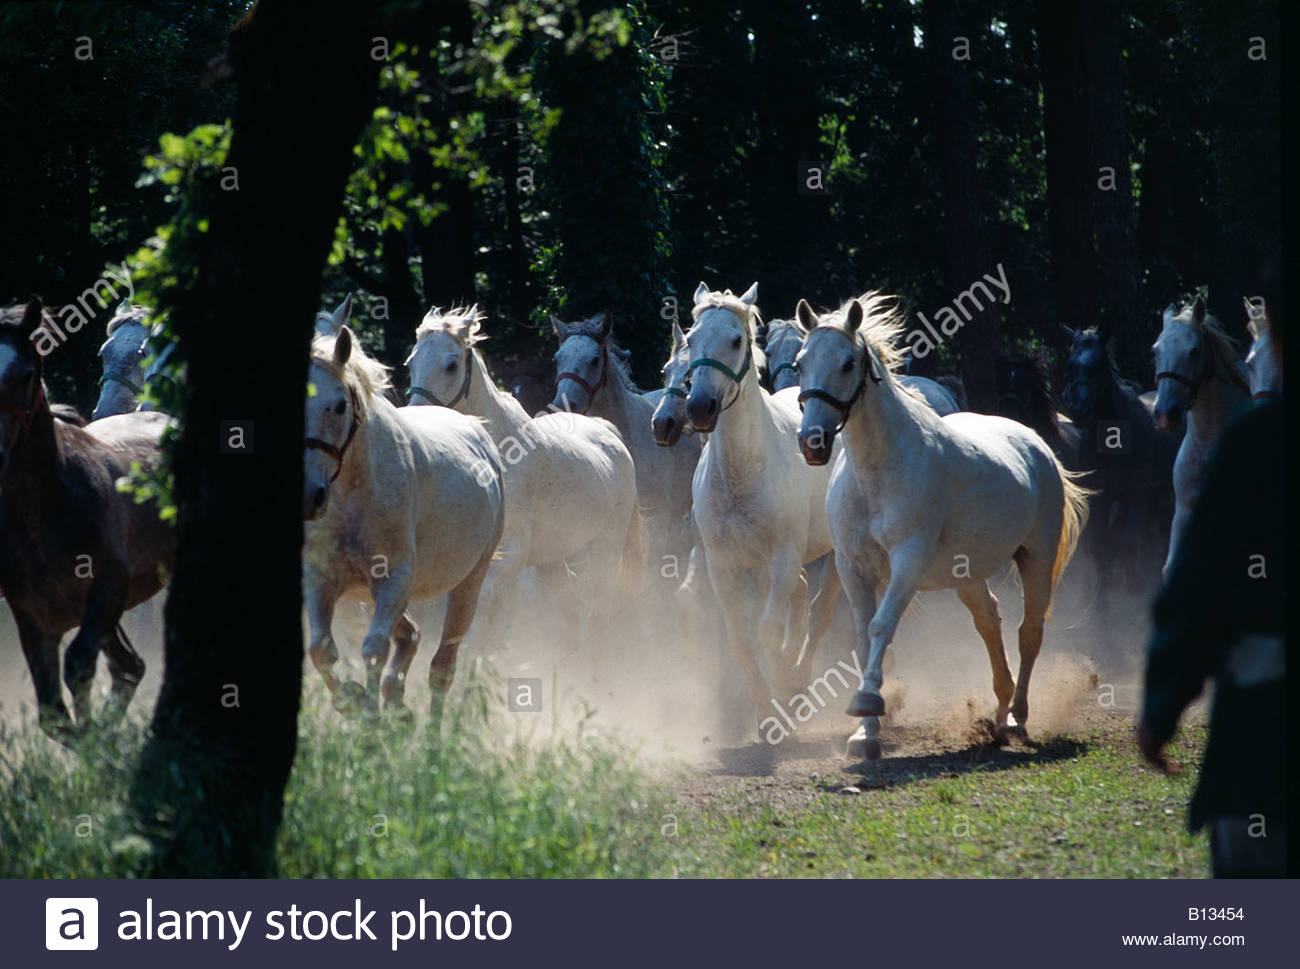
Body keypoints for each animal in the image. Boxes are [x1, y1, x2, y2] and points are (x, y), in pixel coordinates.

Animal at [302, 325, 505, 726]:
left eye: (339, 405)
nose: (308, 495)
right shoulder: (322, 577)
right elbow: (321, 649)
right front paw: (353, 700)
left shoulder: (393, 577)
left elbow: (372, 650)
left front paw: (370, 718)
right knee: (410, 636)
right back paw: (398, 707)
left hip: (468, 584)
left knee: (442, 666)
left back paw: (431, 733)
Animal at [405, 305, 643, 632]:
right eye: (411, 362)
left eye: (451, 365)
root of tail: (608, 432)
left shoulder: (508, 555)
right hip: (553, 558)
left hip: (606, 547)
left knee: (599, 605)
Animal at [684, 282, 844, 725]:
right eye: (690, 339)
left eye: (736, 340)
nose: (699, 407)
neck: (744, 472)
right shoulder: (723, 566)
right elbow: (741, 638)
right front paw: (761, 704)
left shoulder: (782, 557)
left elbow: (768, 630)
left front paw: (780, 703)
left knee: (822, 610)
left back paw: (799, 678)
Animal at [795, 294, 1089, 760]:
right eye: (800, 363)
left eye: (846, 363)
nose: (813, 442)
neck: (876, 471)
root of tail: (1037, 444)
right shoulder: (851, 566)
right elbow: (862, 639)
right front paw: (865, 734)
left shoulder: (908, 561)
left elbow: (880, 627)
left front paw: (868, 703)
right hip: (967, 575)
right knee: (989, 622)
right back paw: (998, 713)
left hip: (1037, 559)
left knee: (1029, 632)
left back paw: (1017, 718)